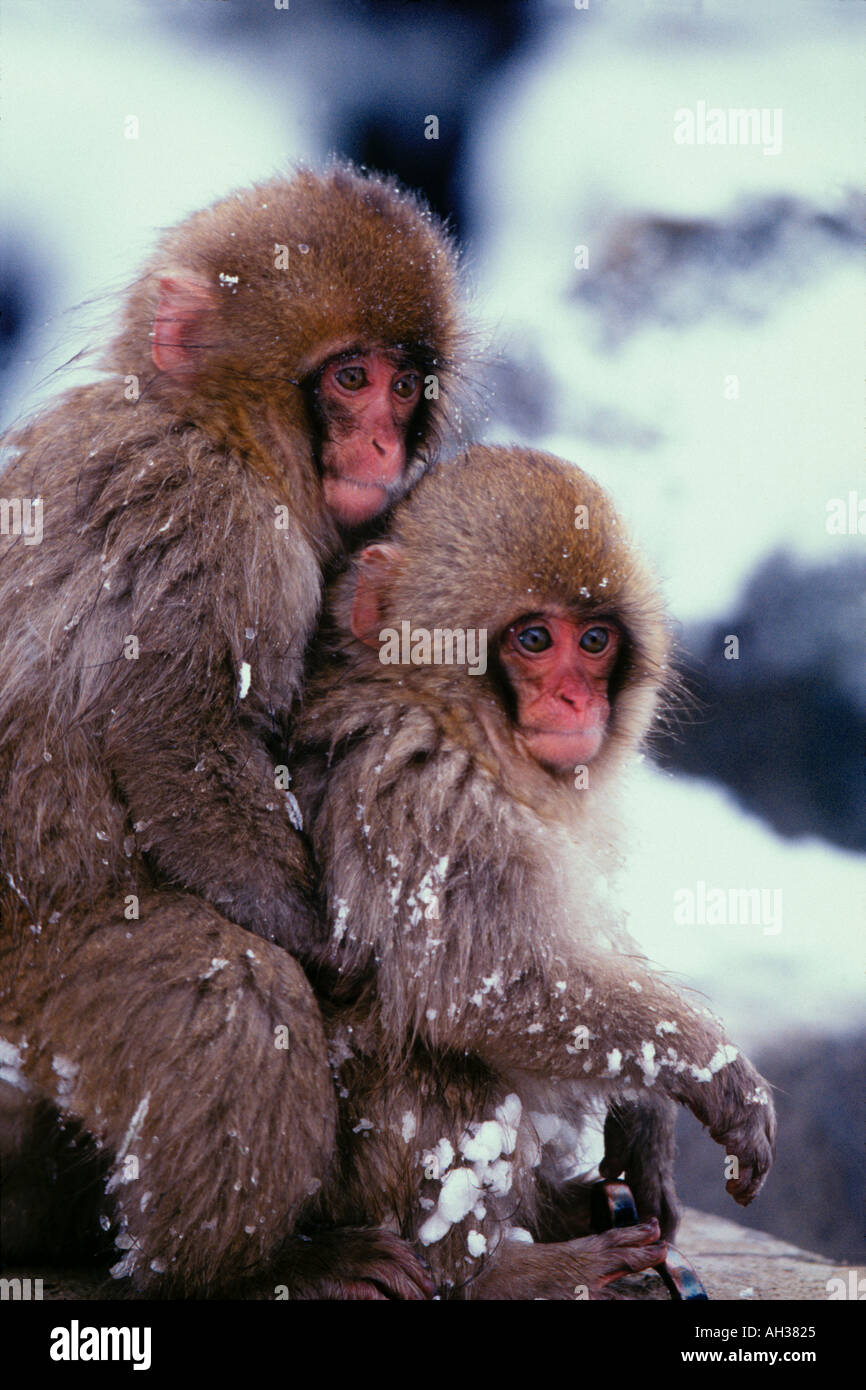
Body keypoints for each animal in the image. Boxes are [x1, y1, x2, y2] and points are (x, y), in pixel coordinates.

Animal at [0, 164, 465, 1296]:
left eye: (403, 385)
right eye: (349, 378)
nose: (380, 442)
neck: (219, 432)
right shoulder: (209, 524)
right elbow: (170, 736)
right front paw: (328, 953)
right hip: (29, 984)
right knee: (236, 998)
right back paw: (259, 1270)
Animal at [290, 444, 776, 1300]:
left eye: (596, 641)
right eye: (535, 639)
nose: (576, 700)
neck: (454, 716)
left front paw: (646, 1119)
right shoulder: (427, 793)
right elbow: (488, 987)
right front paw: (713, 1072)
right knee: (438, 1051)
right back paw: (503, 1272)